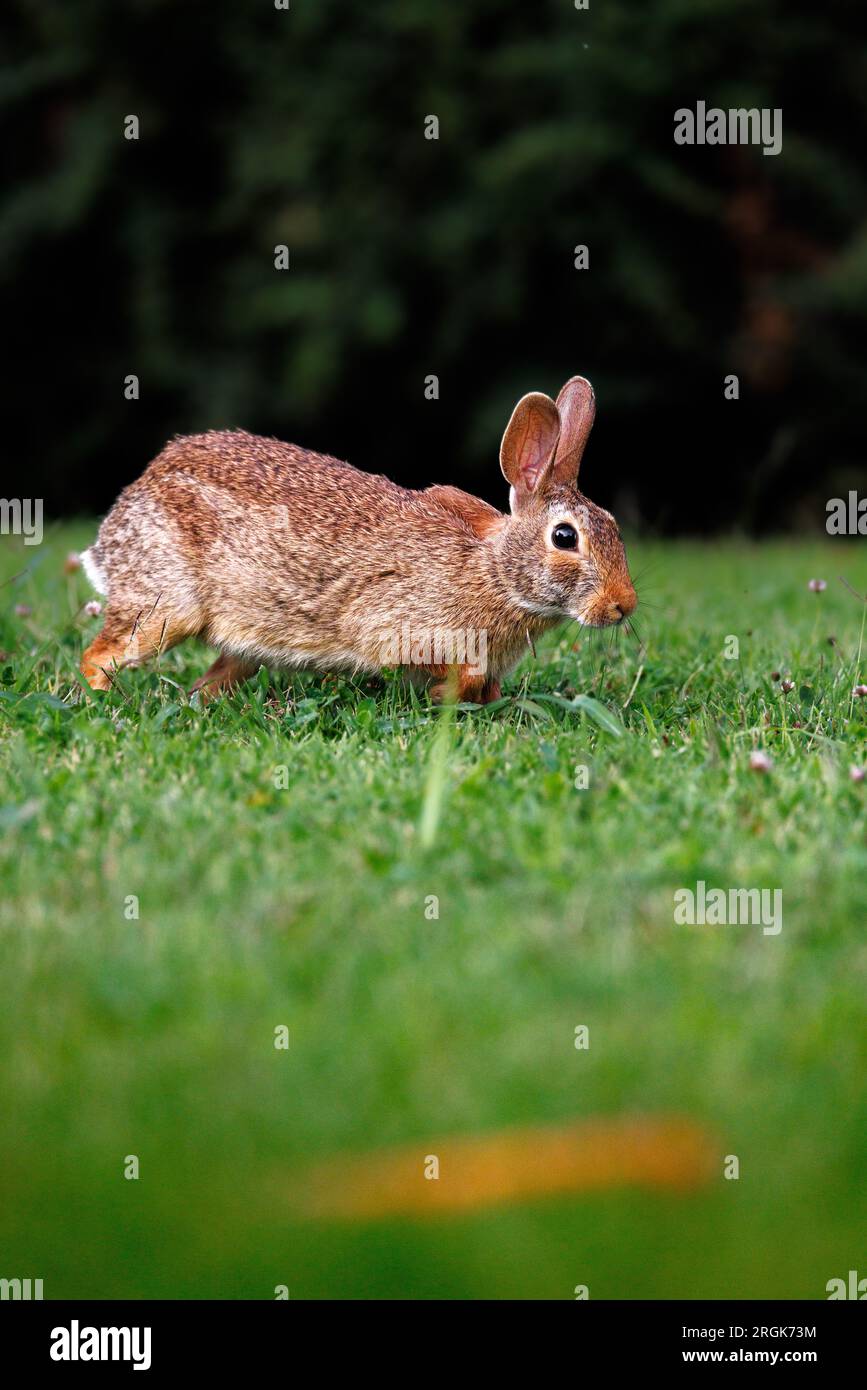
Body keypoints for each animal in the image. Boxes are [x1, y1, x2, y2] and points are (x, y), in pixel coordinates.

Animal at [80, 375, 637, 703]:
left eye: (612, 523)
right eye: (564, 537)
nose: (623, 605)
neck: (495, 574)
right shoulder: (400, 625)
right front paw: (444, 694)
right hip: (166, 605)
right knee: (101, 653)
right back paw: (102, 698)